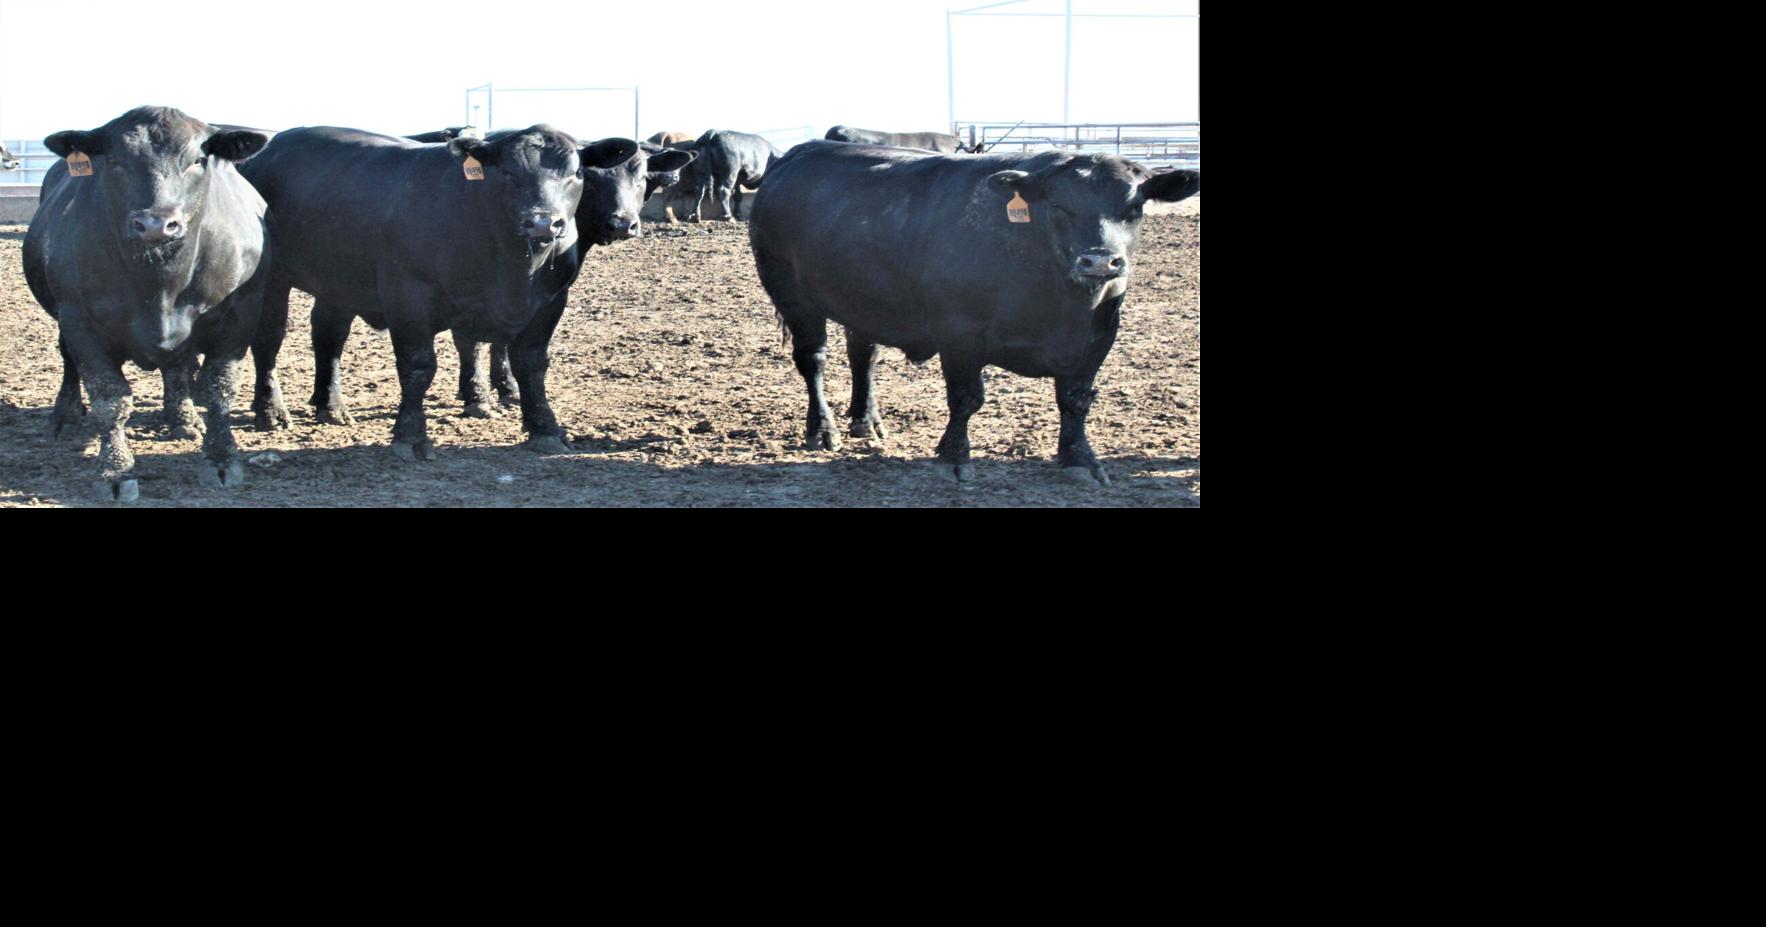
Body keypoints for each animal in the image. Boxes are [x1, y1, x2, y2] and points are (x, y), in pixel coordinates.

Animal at [21, 106, 272, 502]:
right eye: (115, 160)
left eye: (198, 160)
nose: (155, 223)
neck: (161, 286)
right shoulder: (80, 322)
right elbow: (111, 399)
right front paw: (114, 472)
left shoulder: (240, 315)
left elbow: (218, 389)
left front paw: (221, 459)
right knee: (68, 362)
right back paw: (65, 415)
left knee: (178, 367)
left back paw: (183, 418)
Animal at [237, 125, 637, 459]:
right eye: (508, 172)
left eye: (578, 173)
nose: (542, 222)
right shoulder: (408, 296)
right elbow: (418, 367)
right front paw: (410, 436)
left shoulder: (549, 302)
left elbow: (531, 364)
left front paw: (545, 429)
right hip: (273, 279)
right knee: (269, 340)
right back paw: (271, 411)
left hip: (338, 281)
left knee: (329, 336)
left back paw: (331, 406)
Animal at [451, 137, 696, 417]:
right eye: (590, 178)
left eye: (642, 176)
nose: (623, 224)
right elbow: (470, 341)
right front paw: (477, 396)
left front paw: (507, 388)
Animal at [749, 141, 1199, 486]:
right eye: (1059, 205)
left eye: (1135, 206)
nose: (1100, 261)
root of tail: (795, 155)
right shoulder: (959, 332)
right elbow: (966, 398)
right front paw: (954, 456)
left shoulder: (1099, 334)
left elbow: (1075, 400)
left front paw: (1080, 459)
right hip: (792, 293)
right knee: (813, 360)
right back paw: (822, 429)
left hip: (864, 299)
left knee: (864, 354)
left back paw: (866, 420)